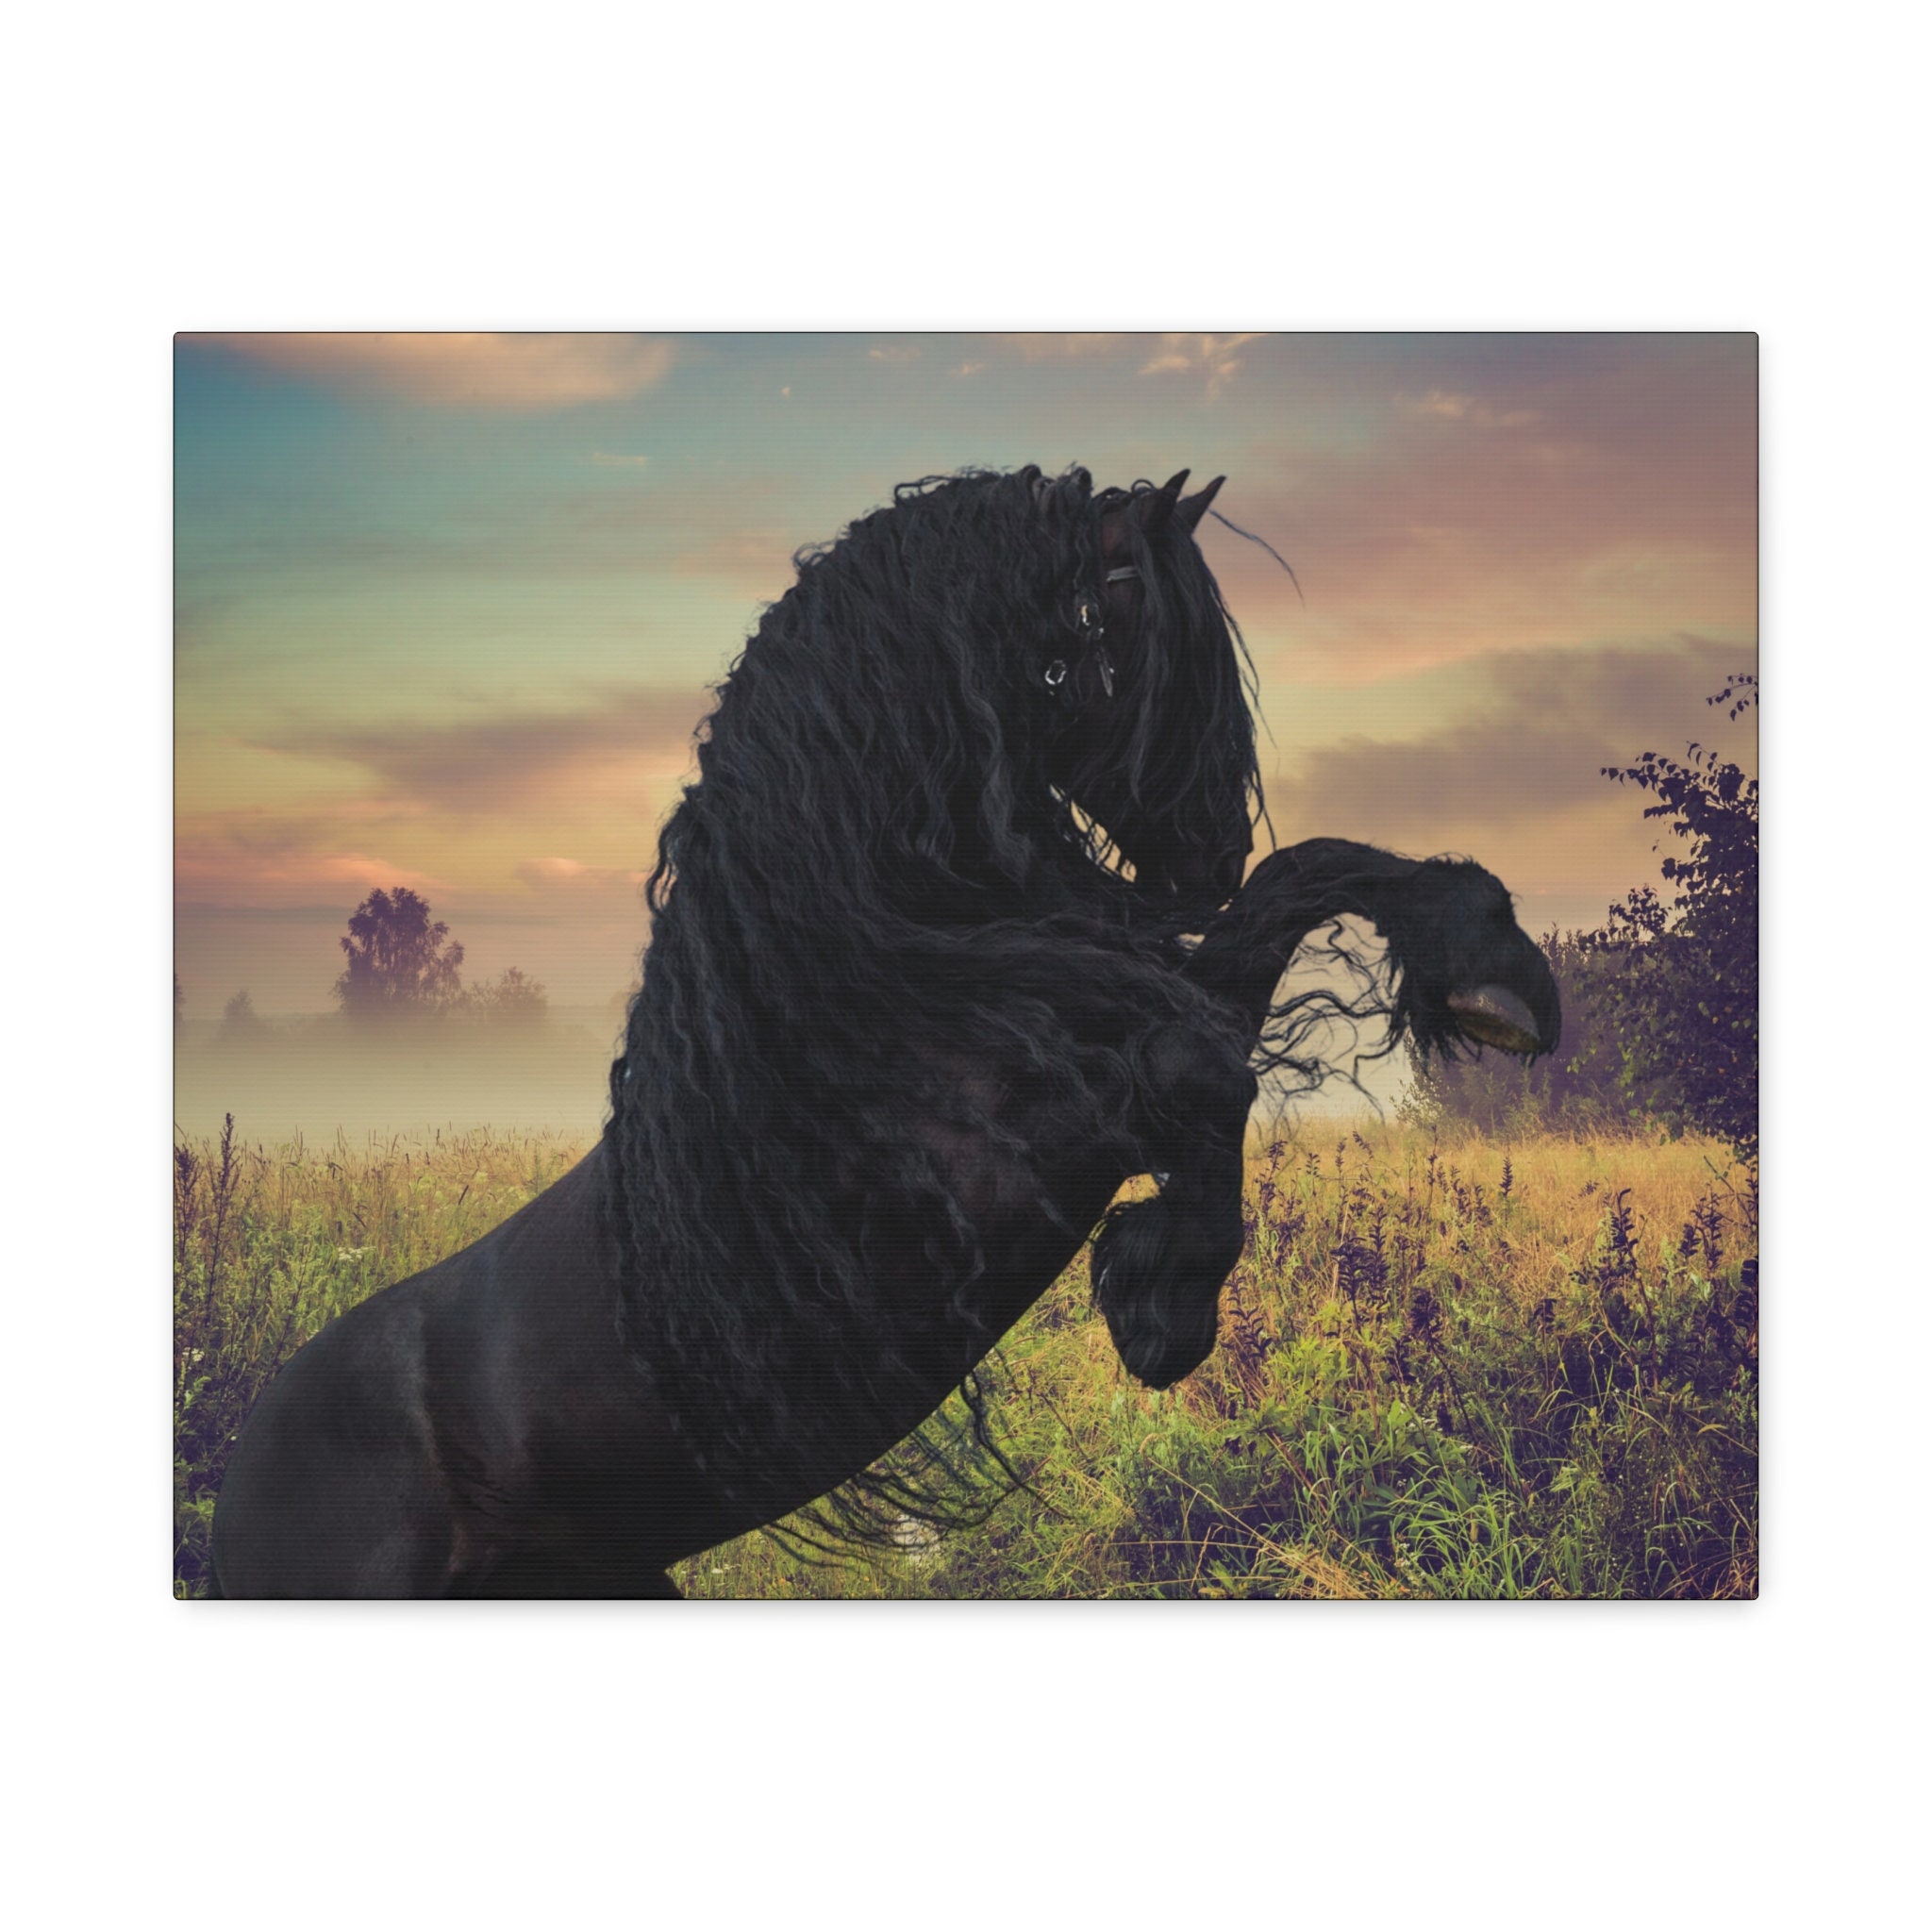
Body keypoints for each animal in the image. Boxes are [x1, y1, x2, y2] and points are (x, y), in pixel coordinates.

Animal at [209, 464, 1561, 1598]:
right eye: (1142, 637)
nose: (1206, 849)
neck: (876, 982)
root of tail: (239, 1487)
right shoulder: (1051, 1136)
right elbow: (1214, 1063)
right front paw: (1157, 1302)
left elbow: (1305, 883)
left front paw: (1495, 980)